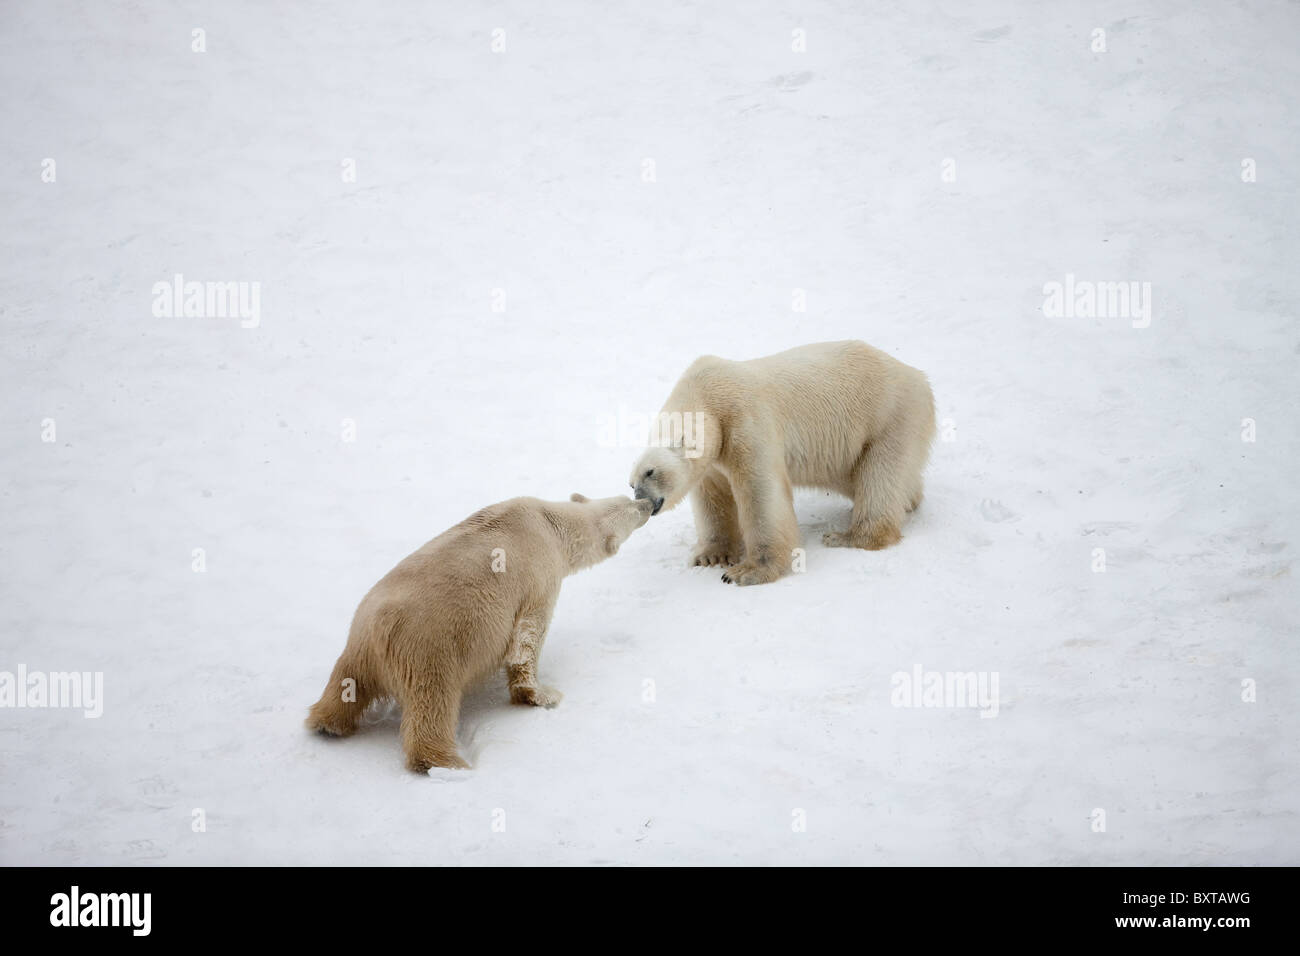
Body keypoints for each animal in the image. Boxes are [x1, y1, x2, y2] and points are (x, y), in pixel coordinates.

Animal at [306, 493, 654, 772]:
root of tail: (378, 632)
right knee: (433, 704)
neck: (550, 523)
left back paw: (325, 725)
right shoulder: (540, 579)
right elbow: (528, 637)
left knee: (344, 686)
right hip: (430, 650)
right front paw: (542, 695)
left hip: (357, 644)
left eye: (629, 497)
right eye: (633, 509)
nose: (649, 504)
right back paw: (445, 762)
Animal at [629, 340, 935, 586]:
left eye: (650, 472)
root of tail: (917, 375)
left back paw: (848, 536)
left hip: (891, 417)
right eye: (631, 483)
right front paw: (712, 556)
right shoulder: (712, 460)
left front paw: (746, 572)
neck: (707, 395)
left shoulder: (745, 423)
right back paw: (909, 500)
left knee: (881, 476)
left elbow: (760, 493)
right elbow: (713, 499)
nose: (641, 501)